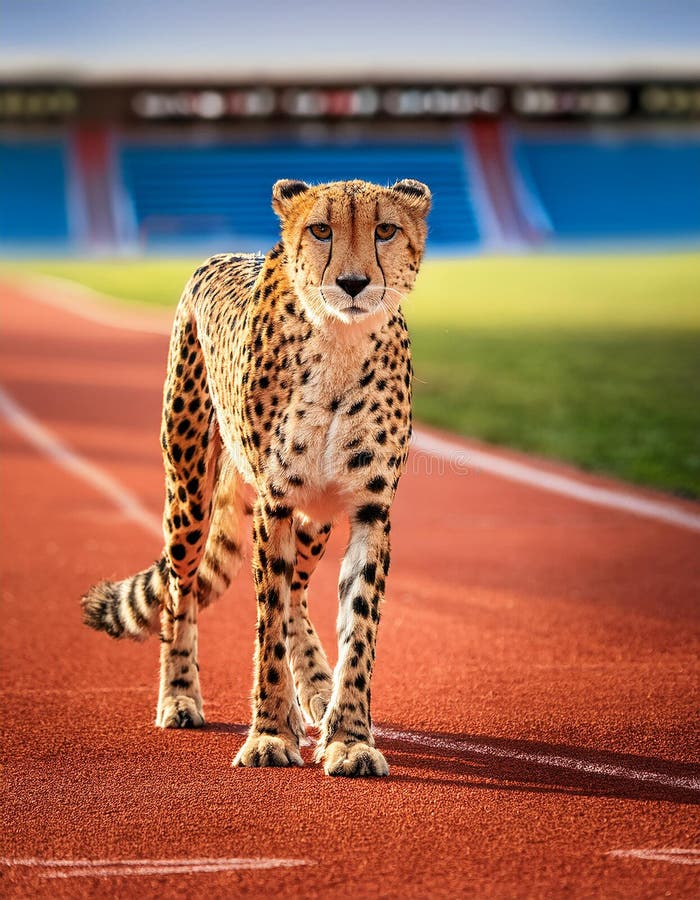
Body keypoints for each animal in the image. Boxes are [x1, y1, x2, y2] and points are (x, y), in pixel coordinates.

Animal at [81, 177, 431, 777]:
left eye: (386, 229)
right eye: (321, 229)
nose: (353, 283)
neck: (339, 343)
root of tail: (221, 254)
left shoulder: (369, 509)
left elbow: (357, 630)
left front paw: (350, 737)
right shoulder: (276, 500)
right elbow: (266, 629)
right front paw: (269, 734)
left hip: (316, 515)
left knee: (297, 594)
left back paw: (316, 688)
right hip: (189, 493)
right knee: (181, 592)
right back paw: (180, 694)